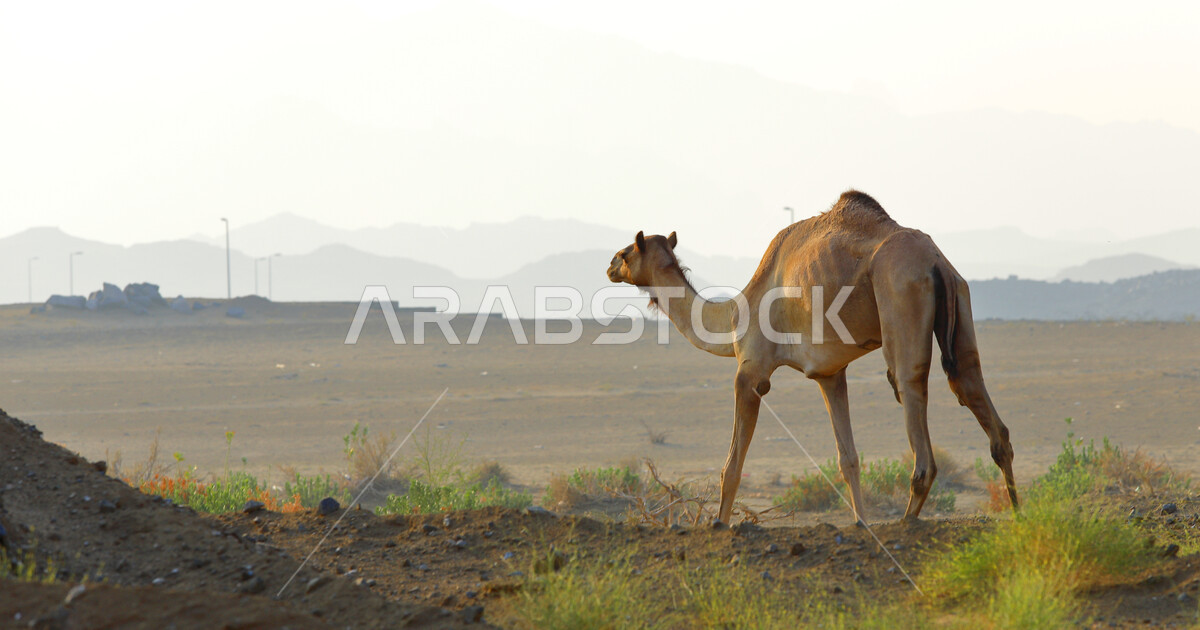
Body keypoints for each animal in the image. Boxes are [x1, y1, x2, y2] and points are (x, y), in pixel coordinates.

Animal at [606, 190, 1018, 524]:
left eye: (626, 252)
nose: (609, 265)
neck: (735, 315)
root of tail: (934, 261)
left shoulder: (750, 372)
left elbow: (732, 465)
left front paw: (719, 525)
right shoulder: (829, 374)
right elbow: (848, 459)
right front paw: (861, 524)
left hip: (901, 297)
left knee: (910, 392)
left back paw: (907, 521)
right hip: (960, 296)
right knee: (976, 392)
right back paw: (1018, 514)